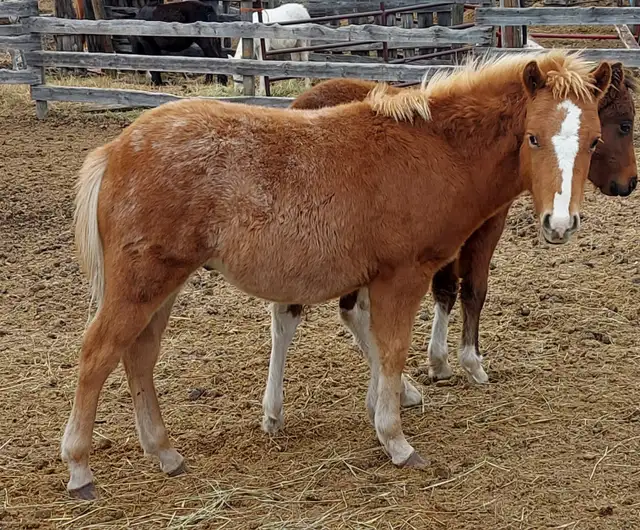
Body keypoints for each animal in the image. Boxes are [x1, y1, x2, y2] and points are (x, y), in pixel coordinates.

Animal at [265, 65, 636, 408]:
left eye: (594, 139)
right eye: (625, 124)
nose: (630, 183)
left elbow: (444, 290)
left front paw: (438, 362)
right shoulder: (483, 229)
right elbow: (470, 290)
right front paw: (466, 362)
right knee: (342, 310)